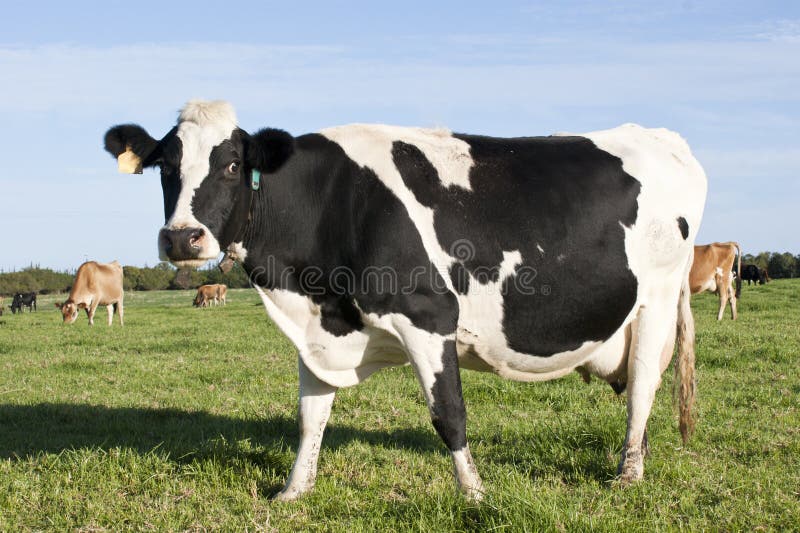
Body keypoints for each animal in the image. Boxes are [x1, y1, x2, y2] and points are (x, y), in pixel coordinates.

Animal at [105, 100, 707, 501]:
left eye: (232, 164)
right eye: (165, 167)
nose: (182, 239)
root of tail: (662, 137)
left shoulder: (429, 317)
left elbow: (449, 414)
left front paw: (474, 495)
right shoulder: (322, 329)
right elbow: (310, 417)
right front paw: (294, 492)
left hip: (656, 299)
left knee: (643, 390)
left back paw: (628, 475)